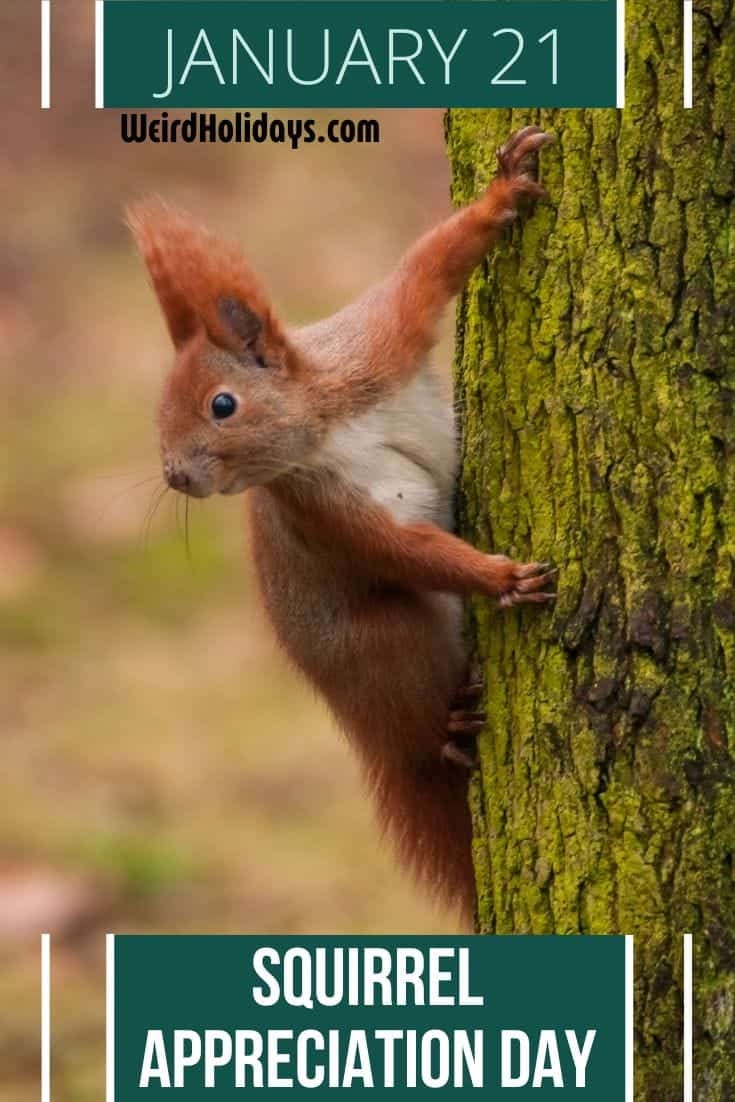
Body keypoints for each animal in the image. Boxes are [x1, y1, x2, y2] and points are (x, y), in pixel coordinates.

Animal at [127, 126, 554, 921]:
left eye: (221, 405)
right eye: (157, 412)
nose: (175, 476)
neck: (323, 430)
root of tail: (365, 729)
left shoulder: (377, 343)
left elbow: (427, 269)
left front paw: (504, 189)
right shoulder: (322, 512)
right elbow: (404, 551)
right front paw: (500, 577)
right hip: (388, 640)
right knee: (419, 725)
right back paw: (452, 730)